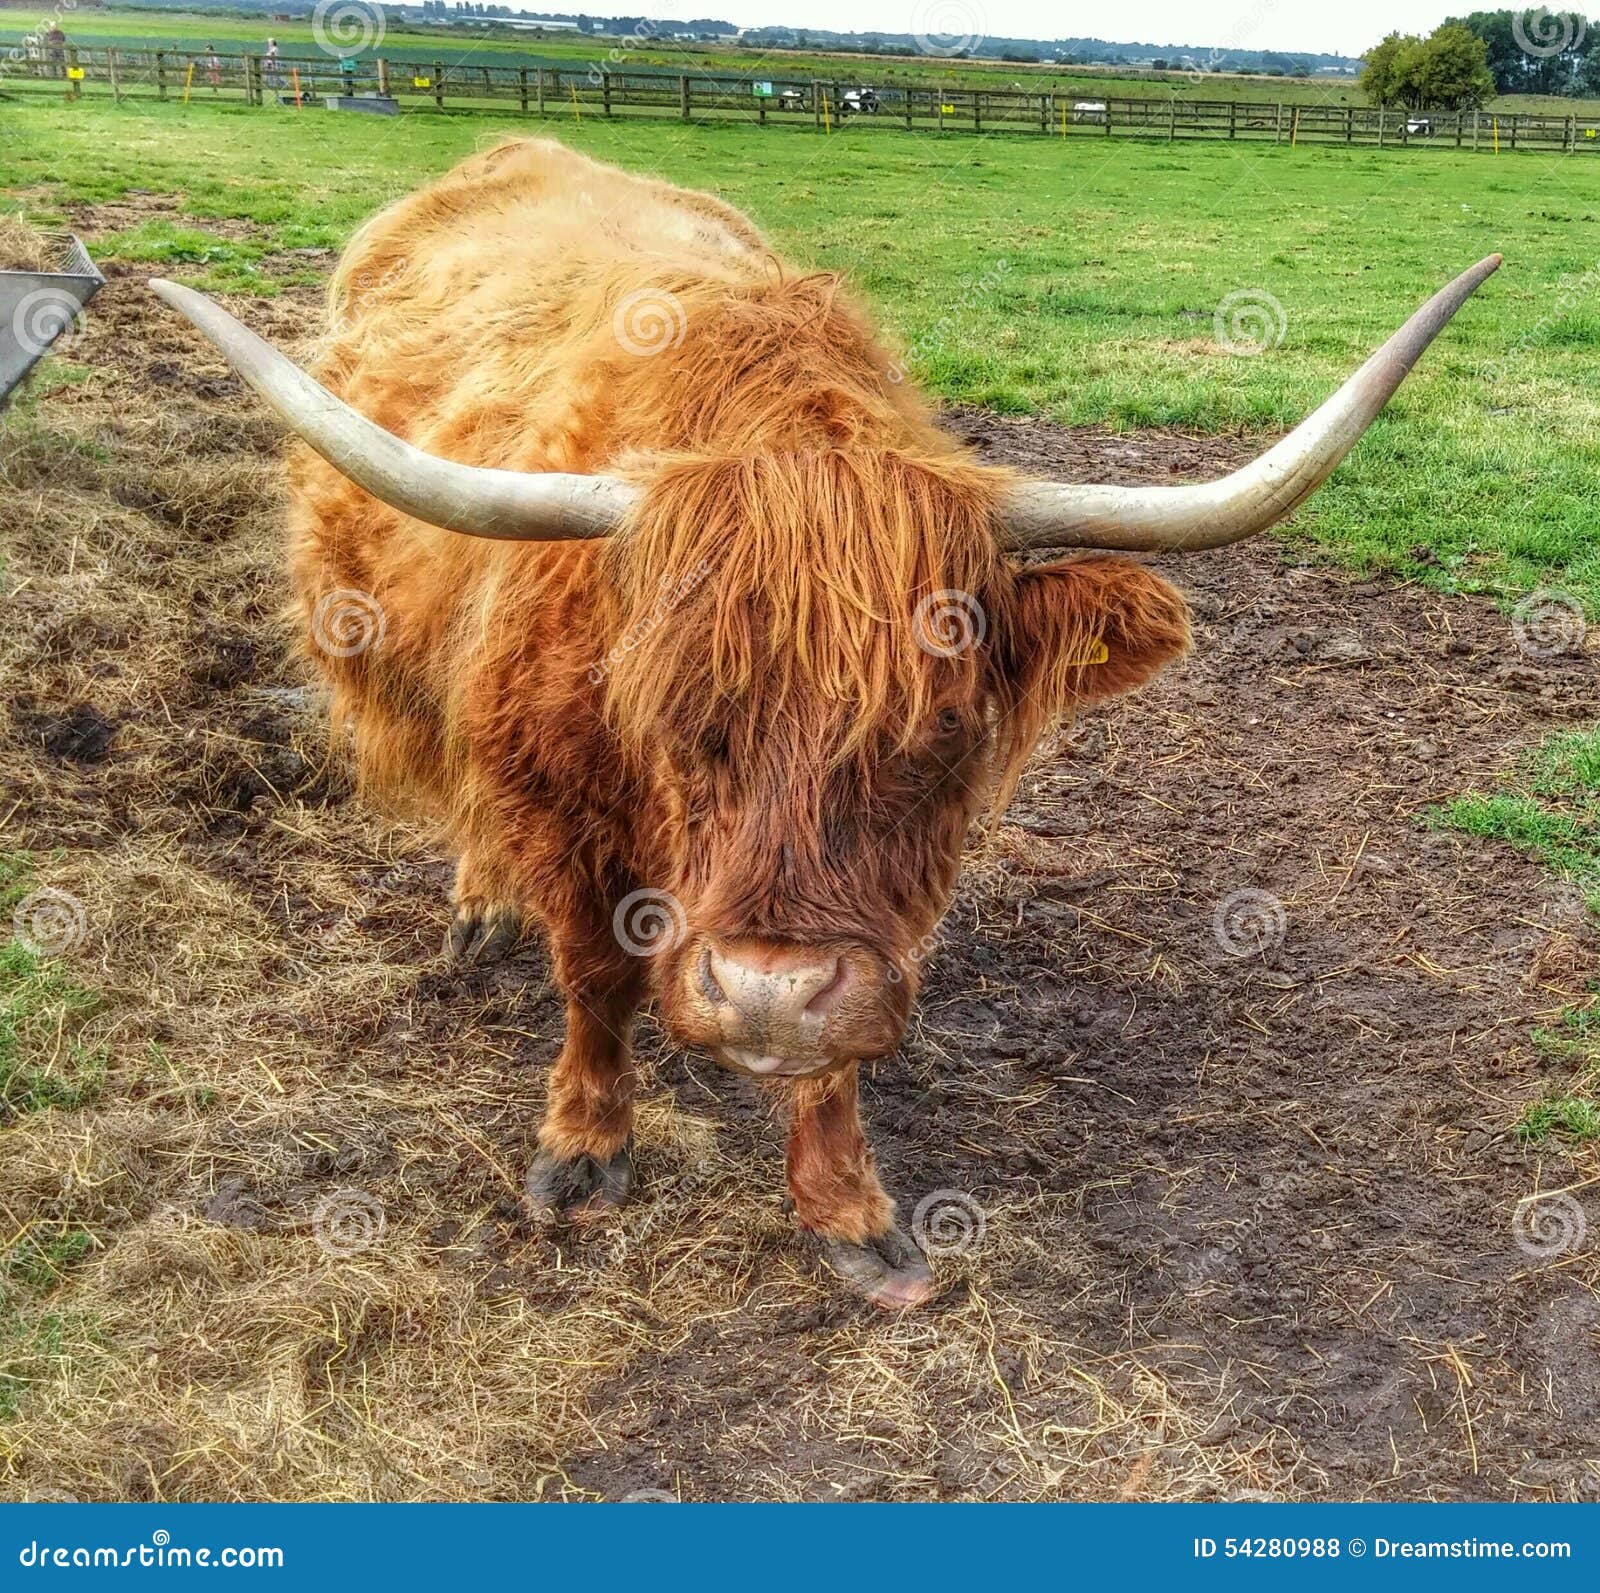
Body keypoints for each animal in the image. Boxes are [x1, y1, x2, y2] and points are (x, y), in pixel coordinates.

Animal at [153, 139, 1497, 1307]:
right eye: (669, 712)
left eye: (942, 727)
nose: (761, 993)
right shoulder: (564, 800)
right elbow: (594, 975)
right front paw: (582, 1149)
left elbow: (838, 1046)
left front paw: (849, 1212)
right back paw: (482, 906)